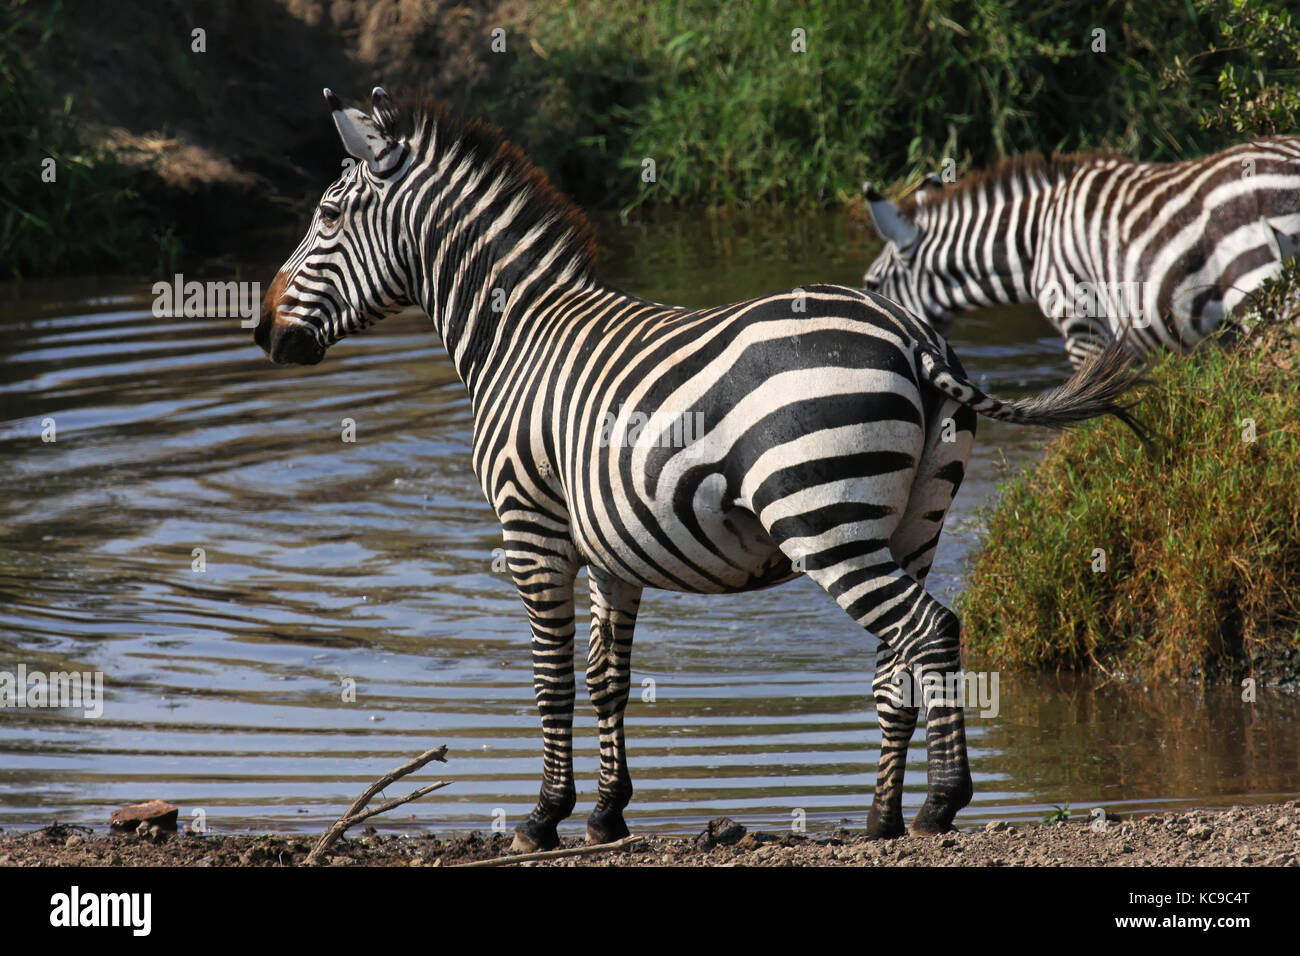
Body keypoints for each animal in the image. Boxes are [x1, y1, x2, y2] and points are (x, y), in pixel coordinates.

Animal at [256, 87, 1144, 851]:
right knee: (905, 653)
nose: (261, 332)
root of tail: (913, 336)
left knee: (928, 630)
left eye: (327, 216)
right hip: (916, 520)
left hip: (823, 520)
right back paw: (885, 815)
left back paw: (936, 804)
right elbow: (607, 678)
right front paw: (607, 815)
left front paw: (543, 817)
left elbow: (552, 679)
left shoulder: (530, 527)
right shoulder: (609, 550)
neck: (516, 335)